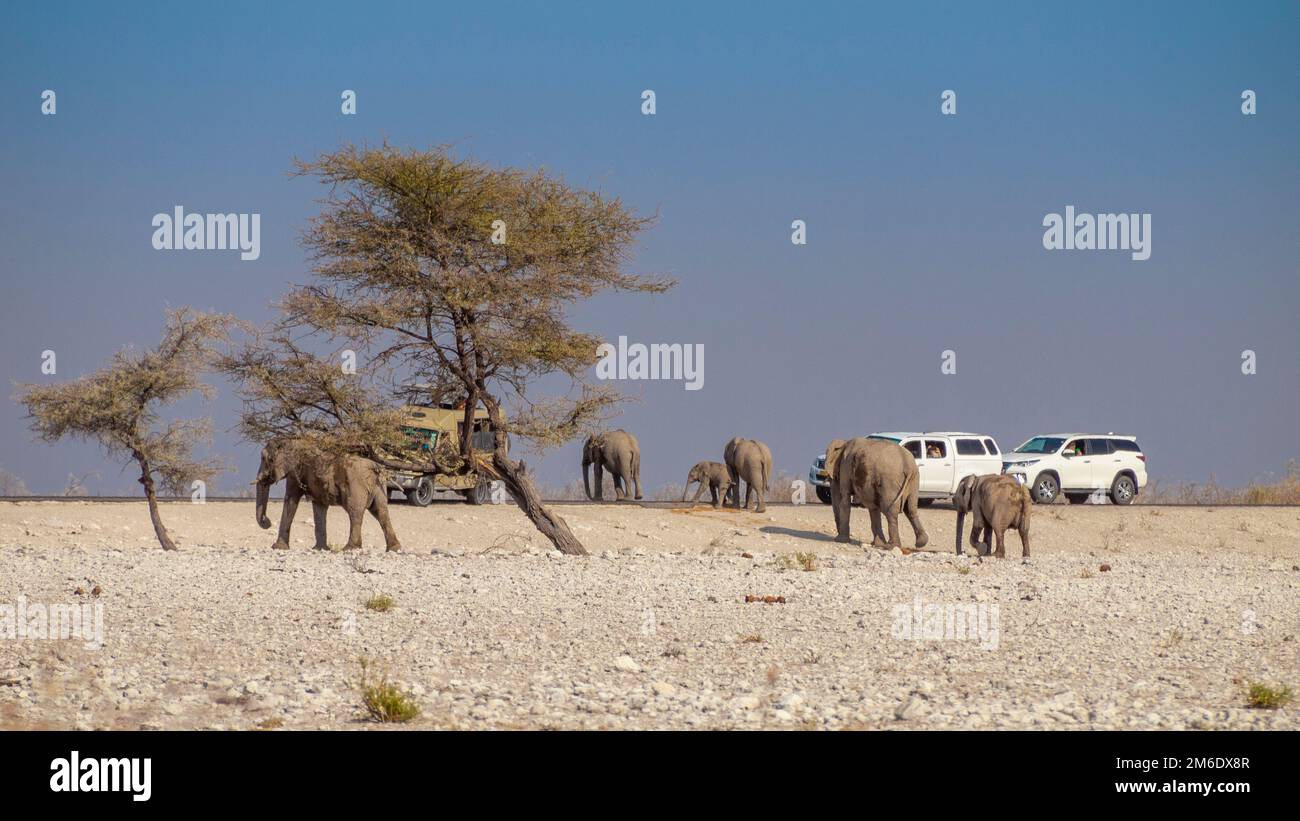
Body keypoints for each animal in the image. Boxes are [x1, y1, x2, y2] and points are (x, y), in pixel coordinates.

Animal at [254, 438, 402, 552]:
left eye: (266, 458)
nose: (267, 521)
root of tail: (374, 466)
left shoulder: (295, 472)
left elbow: (290, 501)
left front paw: (277, 548)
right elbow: (319, 508)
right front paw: (319, 549)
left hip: (356, 485)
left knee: (355, 512)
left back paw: (349, 548)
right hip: (379, 486)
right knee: (381, 512)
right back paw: (394, 549)